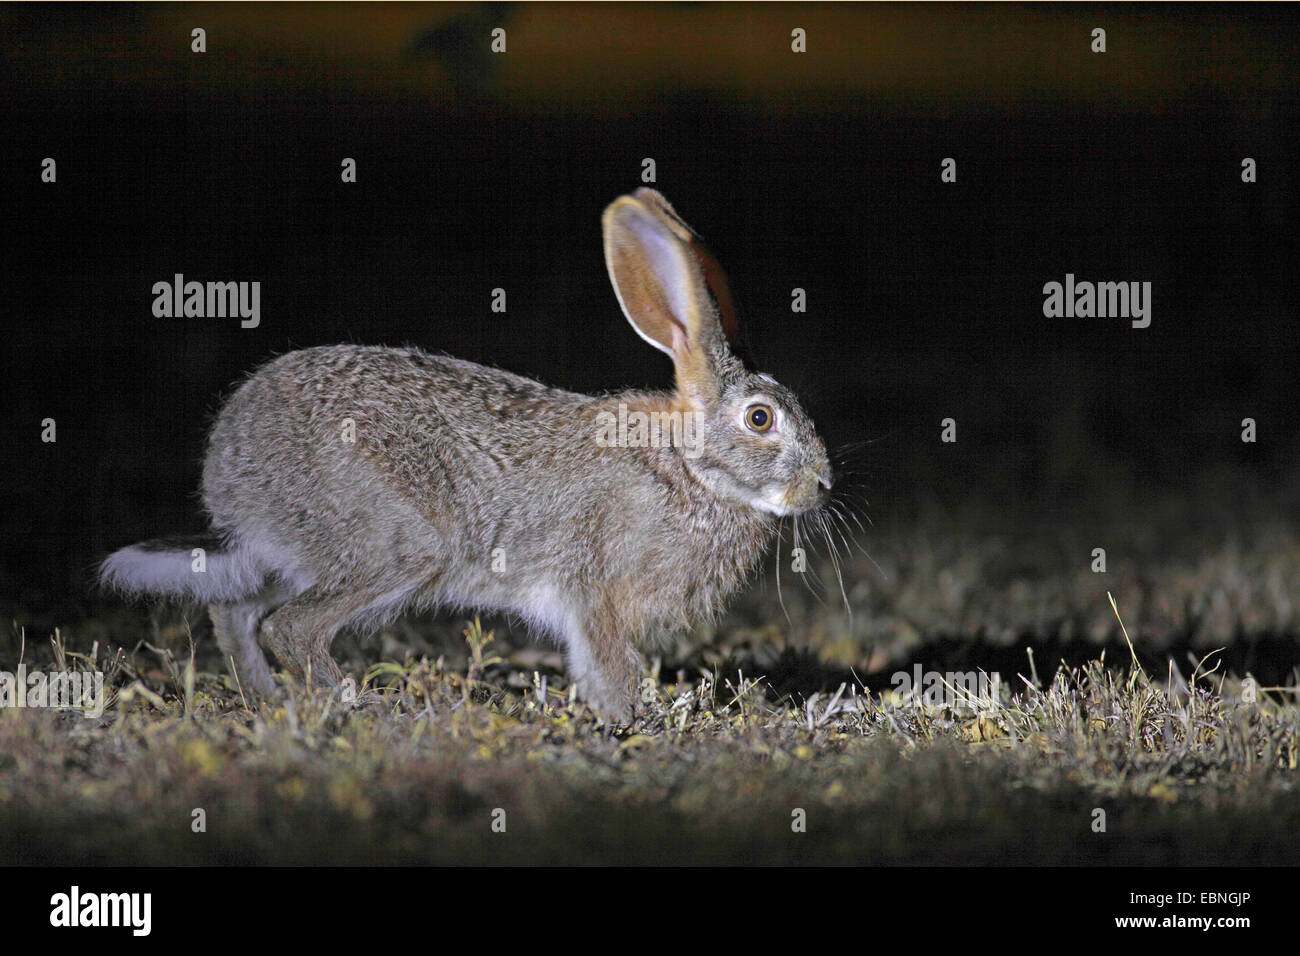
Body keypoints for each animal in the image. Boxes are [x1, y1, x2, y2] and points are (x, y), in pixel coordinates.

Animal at [100, 188, 833, 721]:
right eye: (761, 419)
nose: (820, 486)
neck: (692, 467)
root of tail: (227, 466)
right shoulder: (594, 591)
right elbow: (606, 663)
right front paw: (631, 722)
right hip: (396, 545)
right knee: (292, 628)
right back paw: (358, 706)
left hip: (302, 554)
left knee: (237, 611)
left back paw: (270, 699)